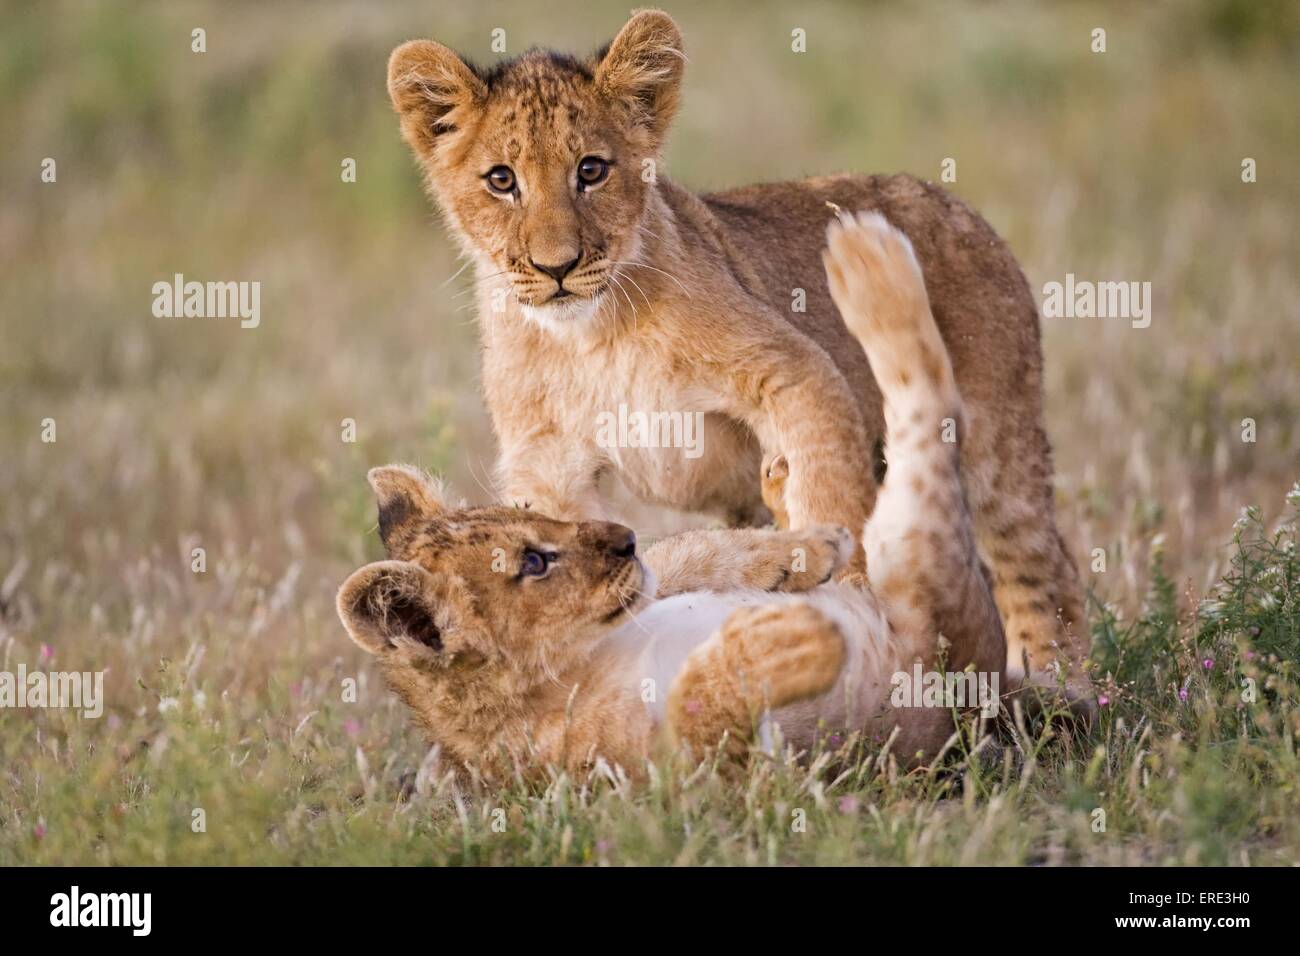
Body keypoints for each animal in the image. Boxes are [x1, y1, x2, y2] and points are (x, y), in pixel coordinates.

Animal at [337, 214, 1005, 779]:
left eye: (537, 518)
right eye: (532, 563)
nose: (624, 539)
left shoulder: (655, 584)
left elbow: (687, 554)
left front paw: (802, 548)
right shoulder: (677, 779)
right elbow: (702, 707)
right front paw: (791, 639)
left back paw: (785, 476)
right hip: (927, 571)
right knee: (926, 400)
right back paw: (868, 259)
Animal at [386, 10, 1089, 707]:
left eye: (591, 170)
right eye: (501, 180)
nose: (556, 267)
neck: (588, 336)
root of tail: (961, 207)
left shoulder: (792, 366)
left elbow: (833, 491)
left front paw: (853, 605)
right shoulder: (546, 462)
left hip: (997, 447)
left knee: (1044, 566)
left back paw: (1063, 689)